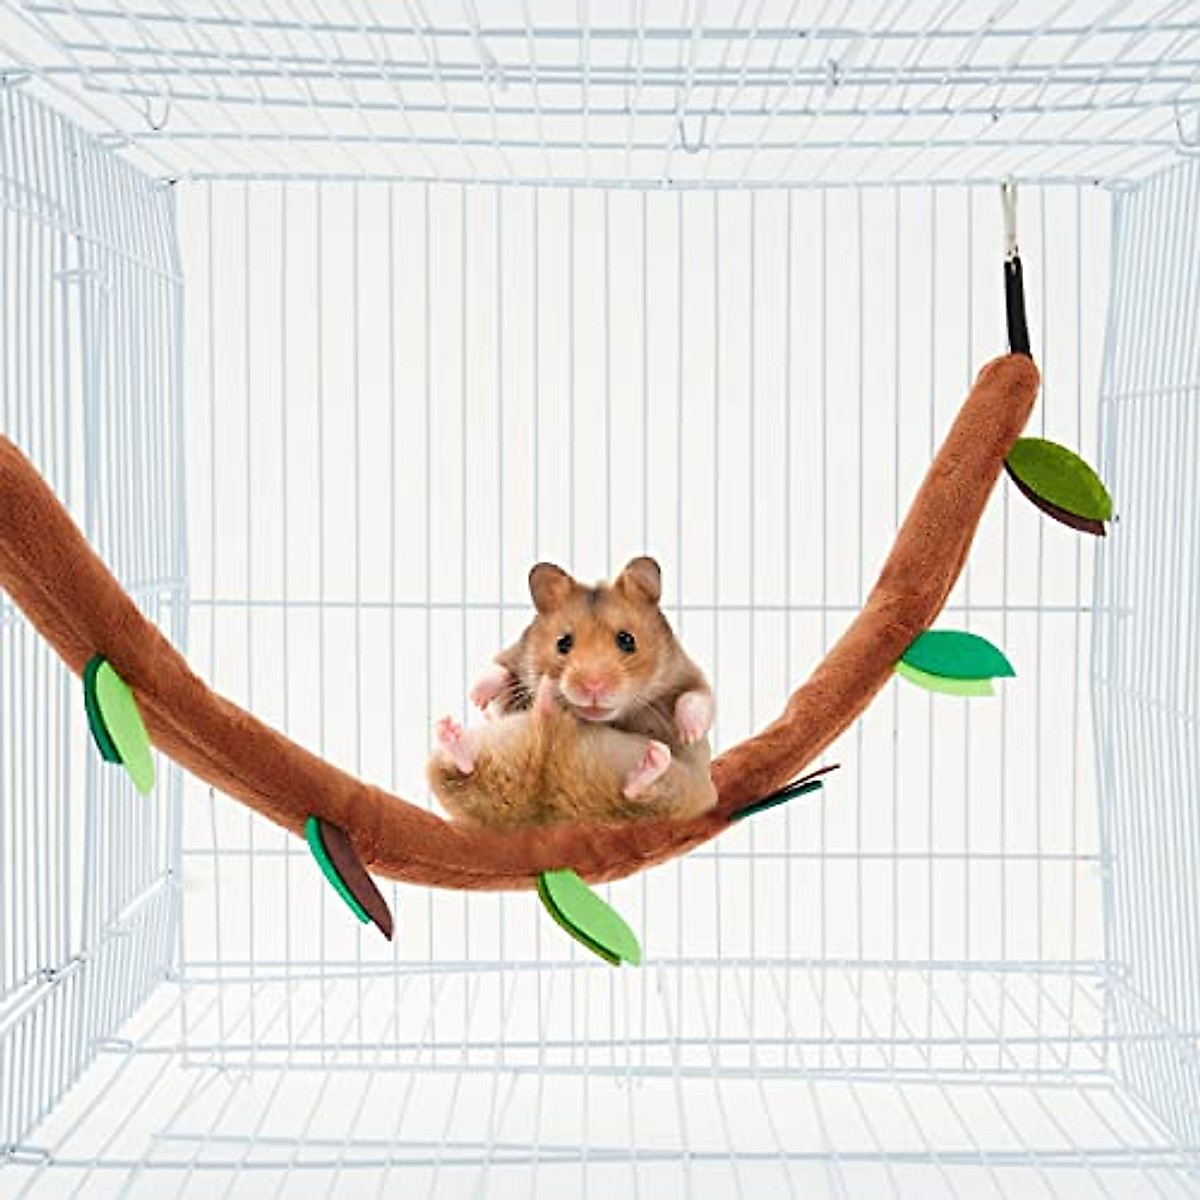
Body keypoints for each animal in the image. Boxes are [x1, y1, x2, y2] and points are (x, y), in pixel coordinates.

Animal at [426, 557, 718, 828]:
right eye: (563, 643)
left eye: (627, 640)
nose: (593, 687)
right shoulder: (515, 664)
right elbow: (500, 674)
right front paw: (477, 697)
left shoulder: (687, 672)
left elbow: (696, 698)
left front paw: (689, 733)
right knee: (466, 768)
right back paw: (453, 730)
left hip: (679, 793)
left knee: (636, 793)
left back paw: (654, 757)